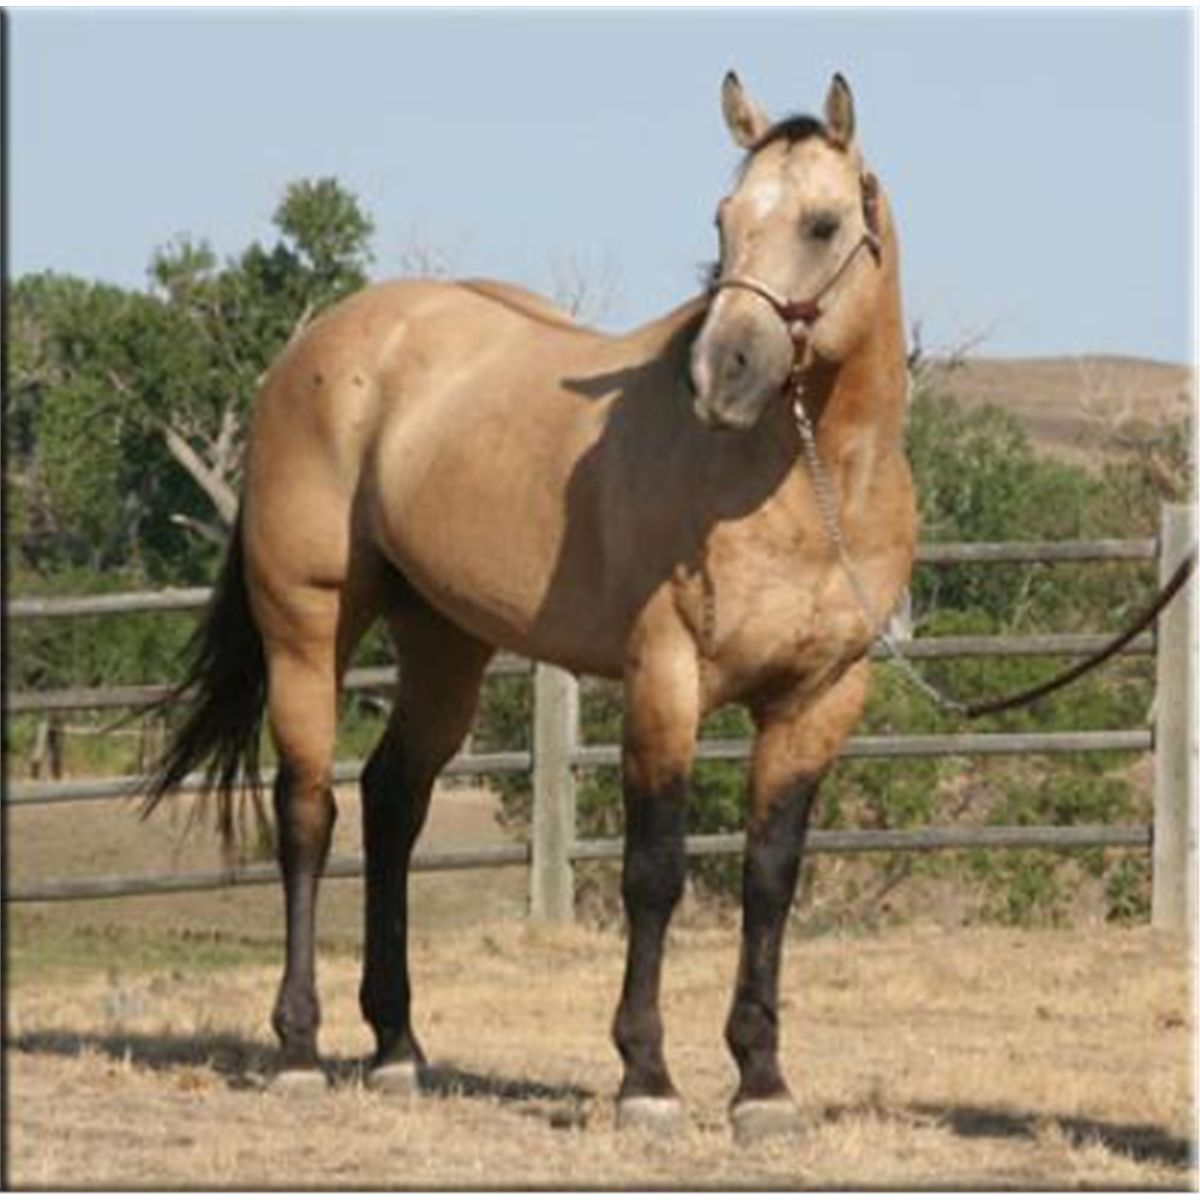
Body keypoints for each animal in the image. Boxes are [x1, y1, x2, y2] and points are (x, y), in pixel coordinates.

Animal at [146, 70, 916, 1142]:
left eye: (822, 222)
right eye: (722, 219)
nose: (718, 376)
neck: (808, 479)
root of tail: (320, 345)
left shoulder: (818, 701)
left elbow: (769, 881)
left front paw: (763, 1084)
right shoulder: (664, 681)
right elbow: (654, 871)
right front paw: (647, 1078)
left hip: (446, 645)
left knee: (392, 803)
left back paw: (398, 1048)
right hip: (307, 626)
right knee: (308, 811)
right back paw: (299, 1050)